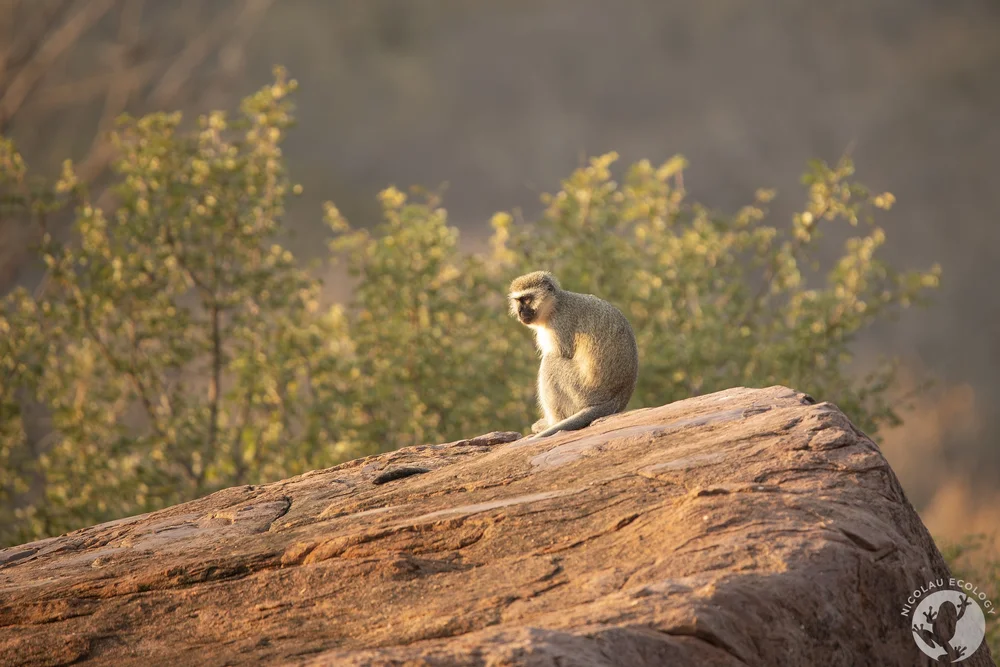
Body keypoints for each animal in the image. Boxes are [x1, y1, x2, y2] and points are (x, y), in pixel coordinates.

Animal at [508, 271, 638, 439]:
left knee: (550, 361)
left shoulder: (559, 325)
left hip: (582, 393)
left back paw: (552, 423)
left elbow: (563, 353)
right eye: (518, 301)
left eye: (527, 299)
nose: (520, 312)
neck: (555, 306)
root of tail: (616, 399)